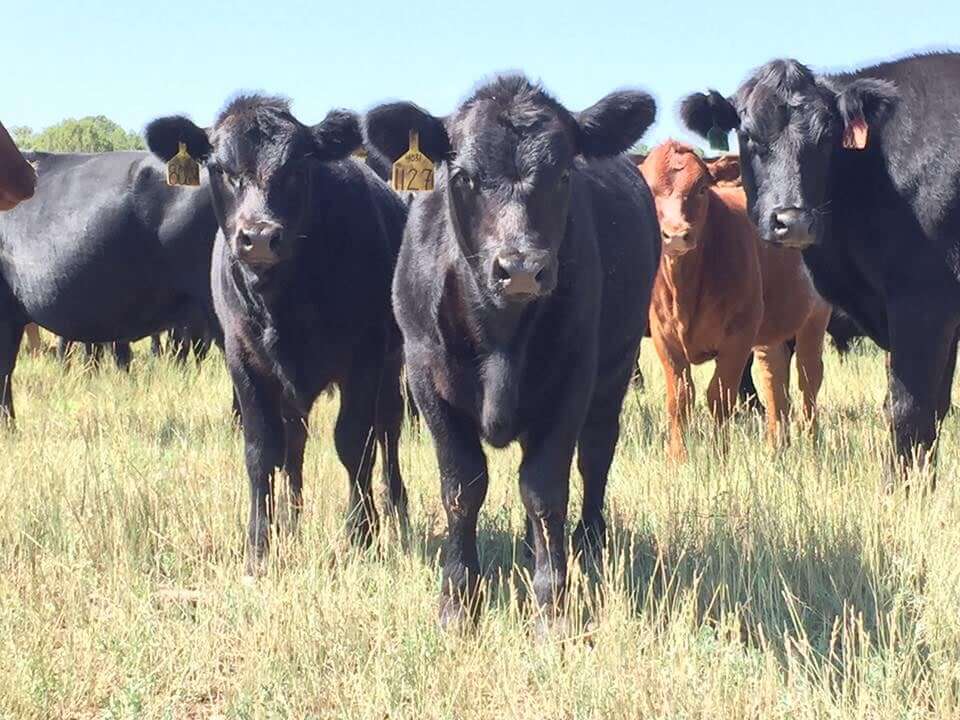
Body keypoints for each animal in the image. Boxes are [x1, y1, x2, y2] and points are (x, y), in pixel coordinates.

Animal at [145, 96, 408, 574]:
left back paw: (397, 512)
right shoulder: (244, 363)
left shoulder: (364, 358)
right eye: (221, 168)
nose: (260, 236)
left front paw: (362, 535)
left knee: (387, 429)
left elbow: (354, 442)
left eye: (297, 167)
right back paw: (291, 519)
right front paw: (260, 545)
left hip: (391, 365)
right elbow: (263, 451)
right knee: (295, 442)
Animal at [365, 75, 660, 632]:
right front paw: (459, 601)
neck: (499, 336)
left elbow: (545, 488)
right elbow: (462, 487)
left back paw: (587, 543)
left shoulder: (572, 378)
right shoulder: (425, 378)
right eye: (463, 176)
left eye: (563, 174)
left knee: (595, 454)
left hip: (615, 367)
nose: (521, 268)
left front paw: (553, 603)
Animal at [641, 141, 831, 459]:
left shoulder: (738, 336)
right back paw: (775, 448)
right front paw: (676, 460)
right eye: (649, 188)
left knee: (809, 377)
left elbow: (719, 396)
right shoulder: (663, 337)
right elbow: (680, 398)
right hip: (769, 328)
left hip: (815, 318)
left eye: (702, 188)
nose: (676, 235)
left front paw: (720, 457)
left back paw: (812, 446)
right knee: (774, 378)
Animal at [680, 53, 960, 483]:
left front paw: (897, 491)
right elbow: (933, 407)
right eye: (748, 134)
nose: (792, 220)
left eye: (826, 137)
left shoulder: (923, 299)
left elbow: (909, 410)